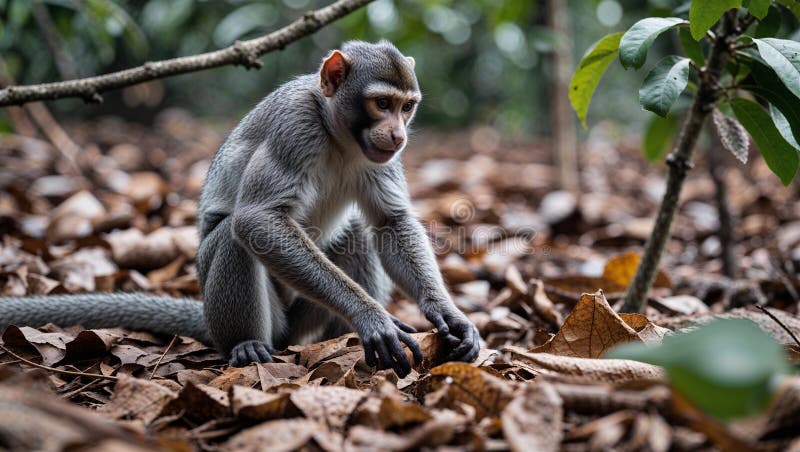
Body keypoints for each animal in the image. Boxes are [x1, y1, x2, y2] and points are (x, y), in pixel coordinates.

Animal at [0, 40, 480, 378]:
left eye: (406, 107)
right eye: (382, 103)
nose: (398, 134)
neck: (336, 133)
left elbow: (389, 222)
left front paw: (446, 314)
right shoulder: (294, 127)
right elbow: (257, 221)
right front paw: (370, 316)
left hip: (303, 318)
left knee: (358, 233)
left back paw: (340, 338)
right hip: (263, 317)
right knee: (236, 236)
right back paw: (246, 344)